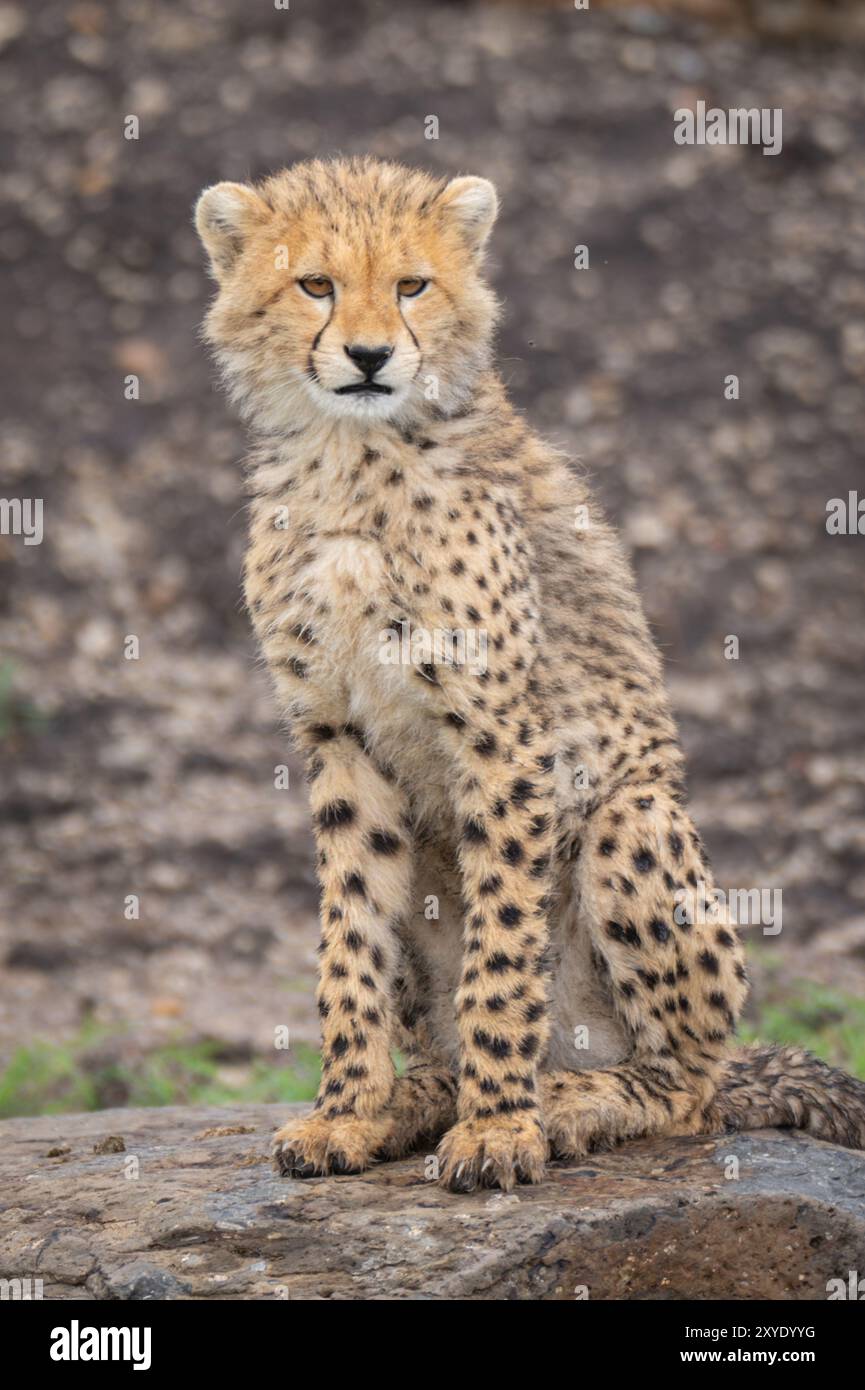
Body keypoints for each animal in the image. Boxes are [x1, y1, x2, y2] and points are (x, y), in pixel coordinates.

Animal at [195, 156, 865, 1192]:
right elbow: (348, 939)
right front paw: (347, 1113)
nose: (369, 356)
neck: (351, 455)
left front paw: (499, 1129)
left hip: (634, 822)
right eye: (314, 284)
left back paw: (571, 1100)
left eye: (411, 285)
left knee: (690, 1084)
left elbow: (501, 951)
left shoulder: (501, 735)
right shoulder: (336, 738)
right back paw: (416, 1101)